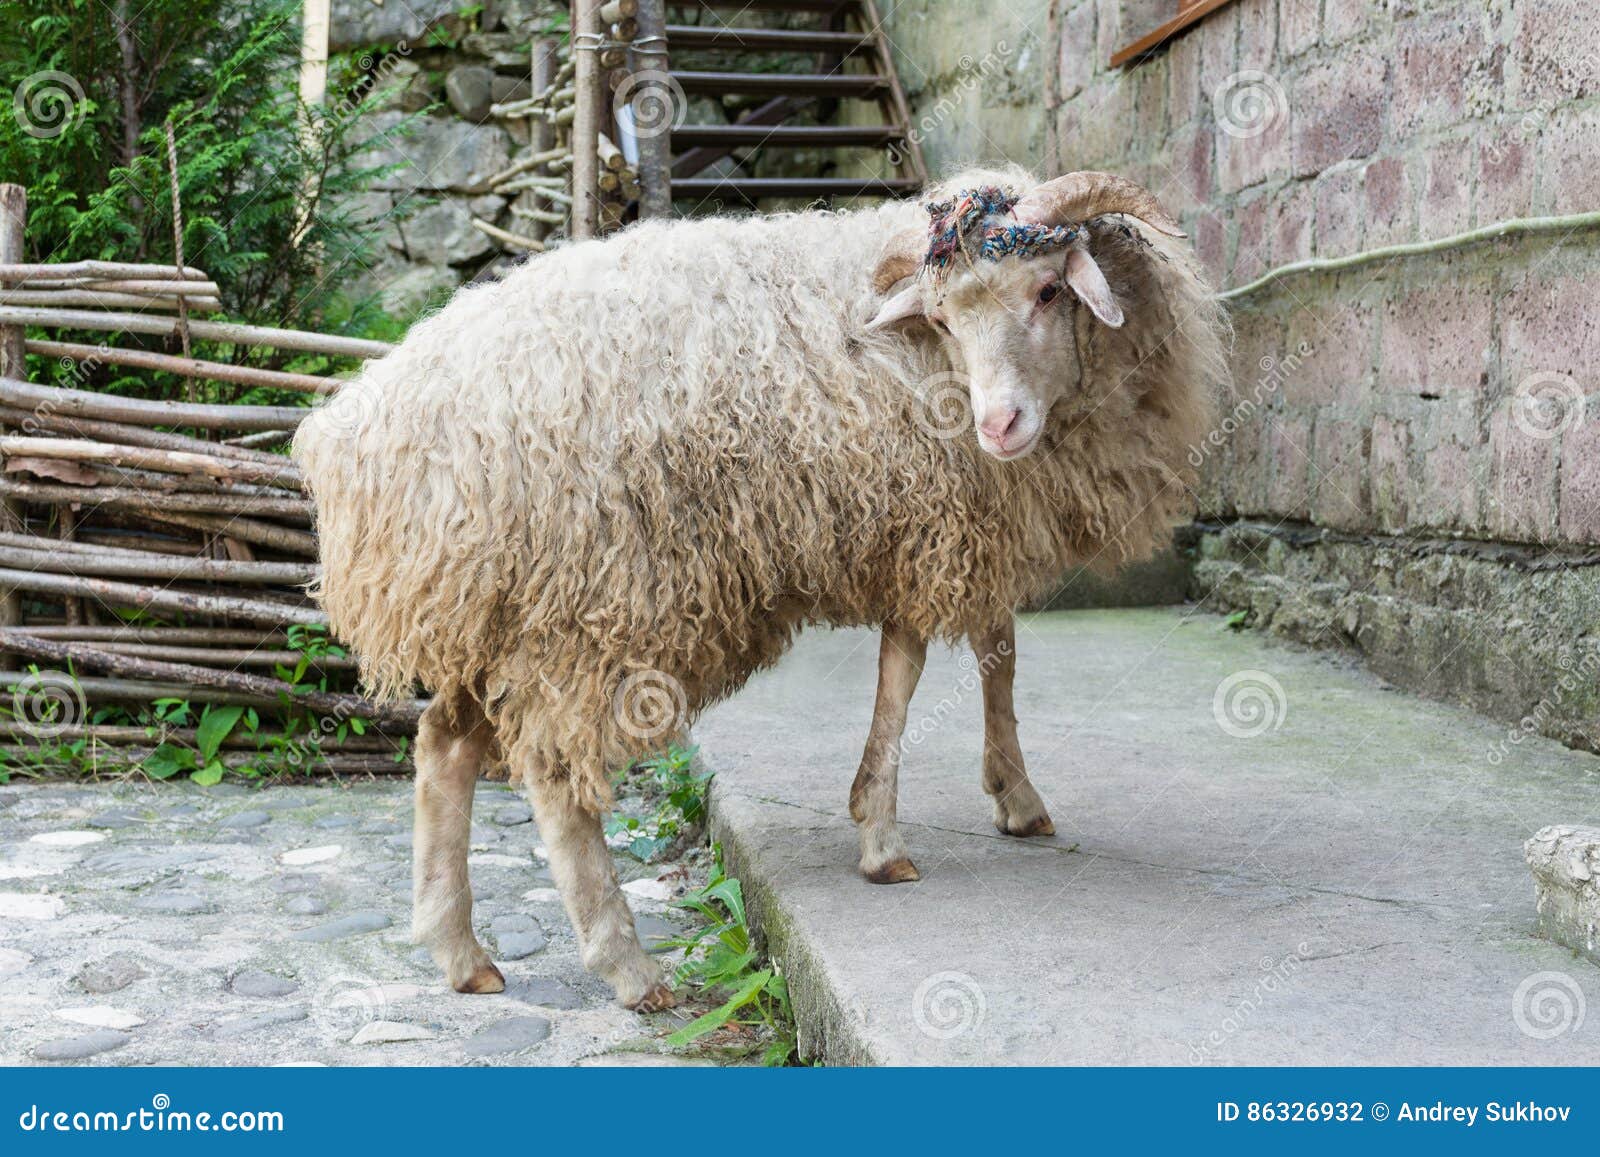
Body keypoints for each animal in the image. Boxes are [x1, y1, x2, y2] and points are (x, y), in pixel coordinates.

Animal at [292, 167, 1229, 1011]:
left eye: (1048, 289)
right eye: (943, 317)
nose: (998, 426)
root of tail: (367, 428)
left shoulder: (949, 522)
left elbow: (992, 652)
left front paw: (1008, 795)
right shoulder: (937, 521)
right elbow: (916, 672)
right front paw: (887, 835)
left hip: (492, 609)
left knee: (443, 748)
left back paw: (459, 952)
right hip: (592, 603)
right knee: (556, 778)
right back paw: (628, 967)